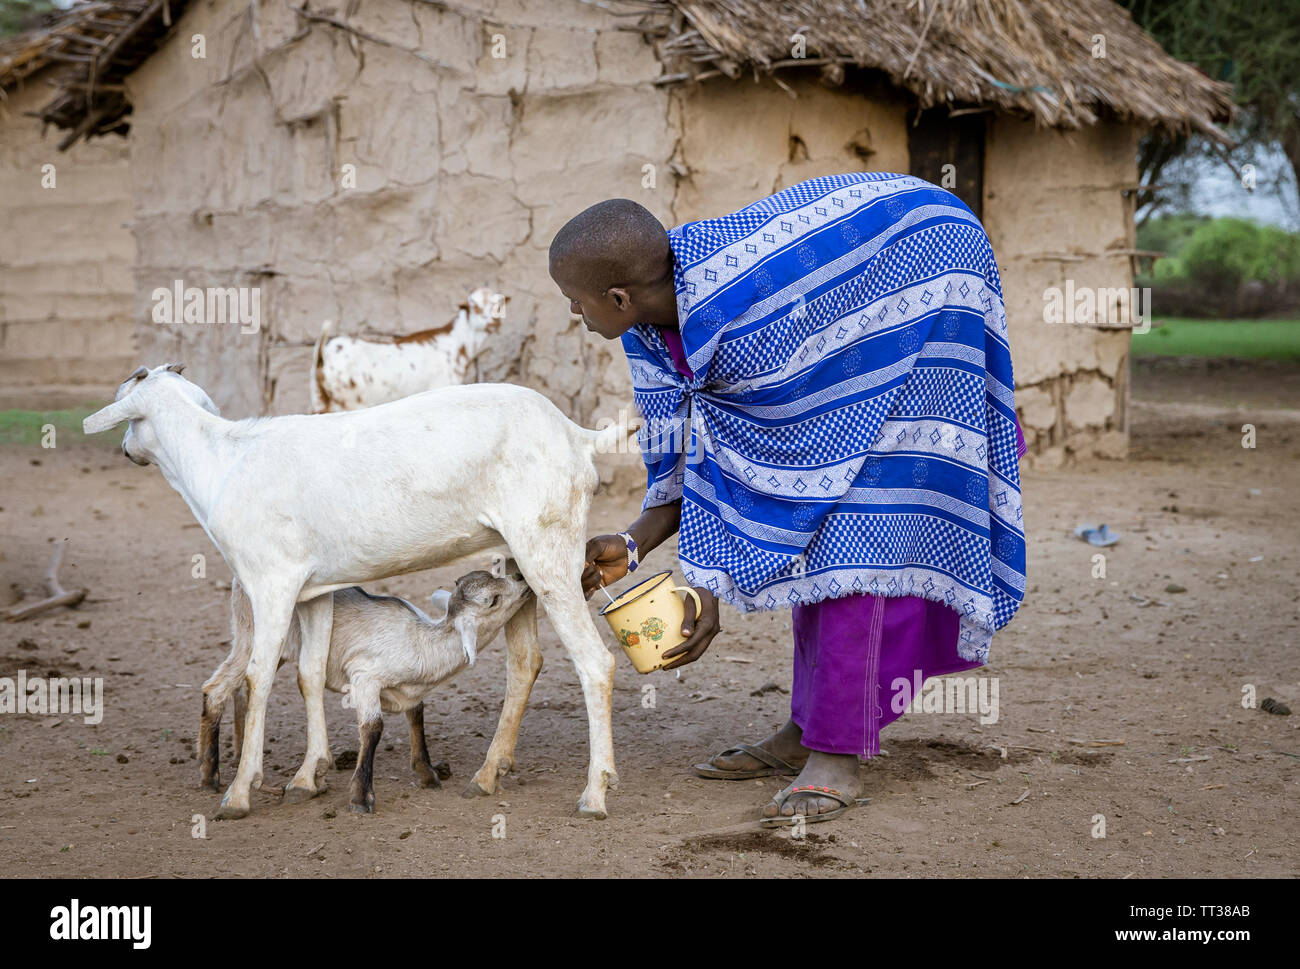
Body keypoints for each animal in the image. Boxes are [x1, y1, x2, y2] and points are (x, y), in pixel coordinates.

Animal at [201, 562, 532, 813]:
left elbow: (417, 715)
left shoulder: (408, 691)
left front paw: (427, 775)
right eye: (493, 599)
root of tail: (241, 581)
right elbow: (373, 728)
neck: (422, 641)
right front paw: (361, 797)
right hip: (251, 633)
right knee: (224, 684)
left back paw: (215, 771)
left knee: (227, 689)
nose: (521, 578)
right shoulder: (364, 677)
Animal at [311, 288, 507, 413]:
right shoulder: (442, 385)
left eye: (498, 304)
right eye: (473, 306)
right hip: (350, 402)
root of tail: (323, 356)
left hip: (319, 400)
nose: (494, 320)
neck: (456, 342)